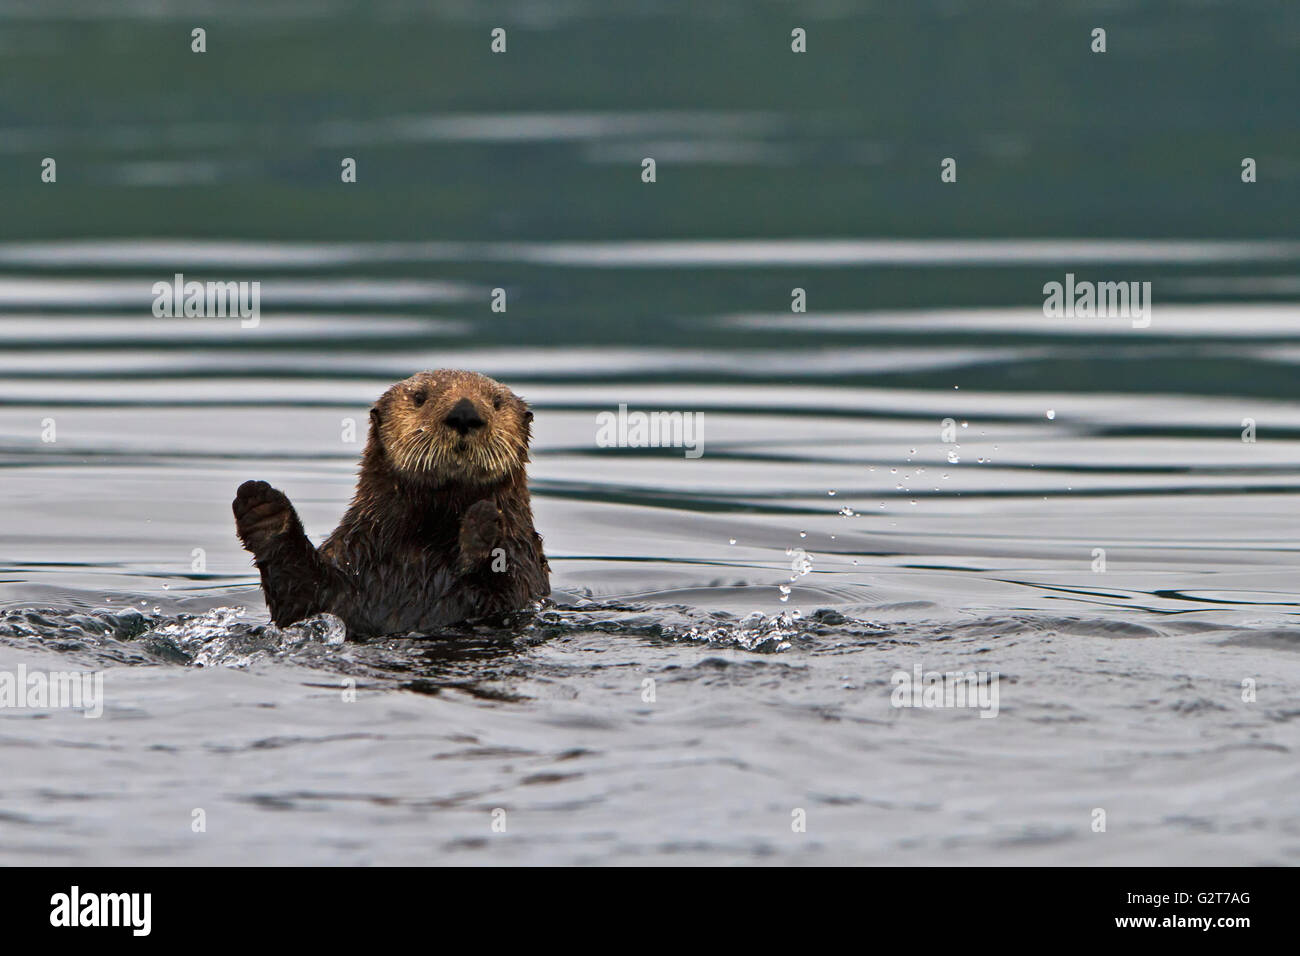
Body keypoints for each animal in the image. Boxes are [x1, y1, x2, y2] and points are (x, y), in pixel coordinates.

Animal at [232, 370, 549, 637]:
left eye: (496, 402)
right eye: (419, 397)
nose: (464, 413)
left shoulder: (525, 565)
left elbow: (506, 594)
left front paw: (482, 523)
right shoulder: (348, 558)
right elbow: (299, 598)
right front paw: (264, 510)